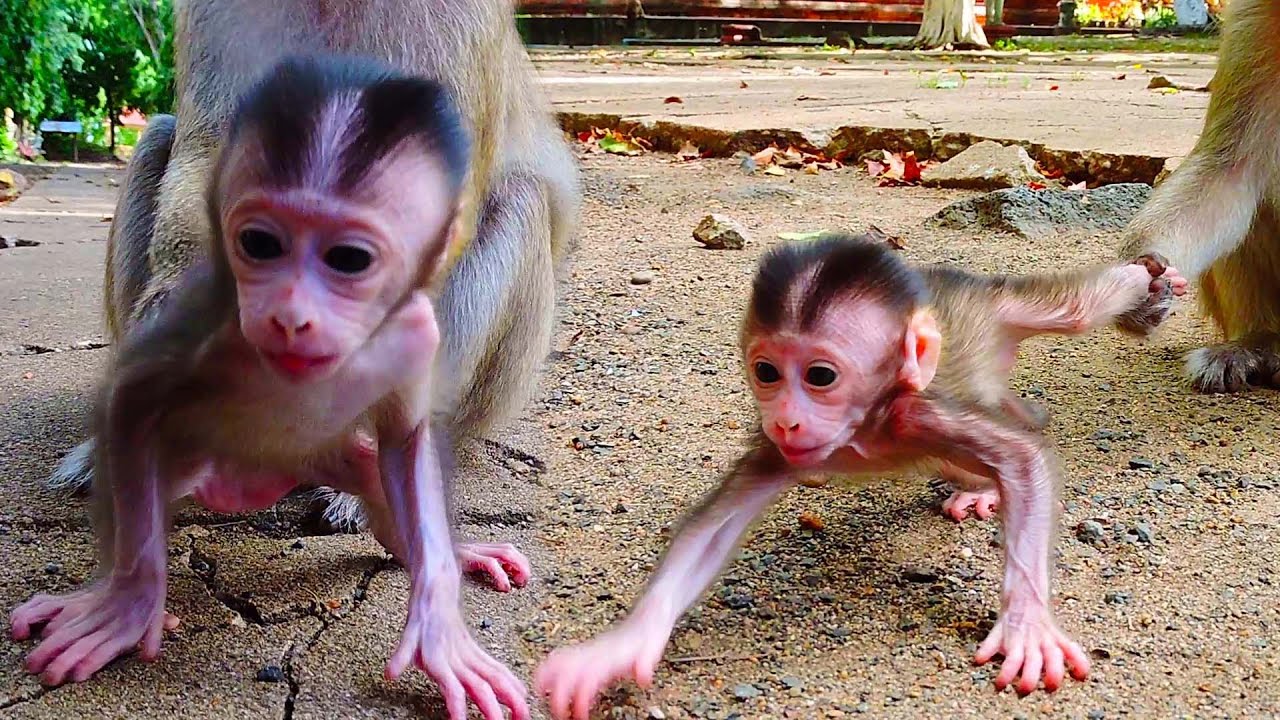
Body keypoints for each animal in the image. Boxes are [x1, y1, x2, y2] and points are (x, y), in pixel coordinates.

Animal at [10, 55, 530, 720]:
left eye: (349, 258)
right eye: (260, 243)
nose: (289, 315)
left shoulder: (415, 329)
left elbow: (406, 444)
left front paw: (440, 620)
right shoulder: (207, 320)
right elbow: (131, 401)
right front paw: (127, 602)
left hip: (320, 455)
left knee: (369, 472)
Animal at [533, 232, 1186, 719]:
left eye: (820, 376)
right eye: (767, 372)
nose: (788, 417)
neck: (860, 433)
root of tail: (945, 285)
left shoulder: (917, 413)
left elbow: (1023, 460)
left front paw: (1026, 623)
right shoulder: (779, 451)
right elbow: (709, 533)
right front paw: (622, 646)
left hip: (991, 313)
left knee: (1072, 316)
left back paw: (1147, 282)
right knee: (1001, 427)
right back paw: (980, 485)